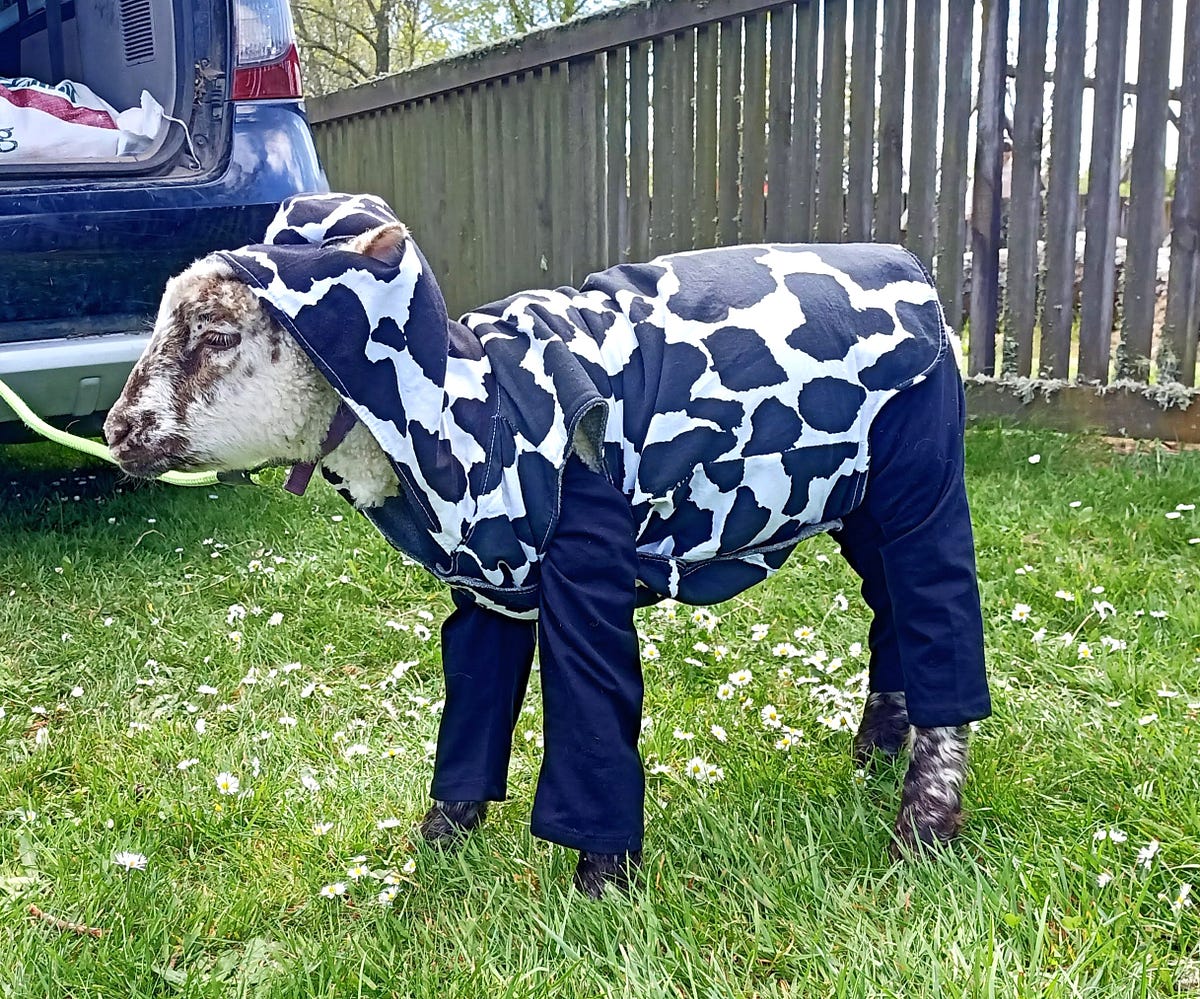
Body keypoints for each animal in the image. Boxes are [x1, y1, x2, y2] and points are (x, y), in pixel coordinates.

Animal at [105, 193, 991, 898]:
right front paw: (438, 846)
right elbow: (472, 705)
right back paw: (876, 753)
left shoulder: (585, 556)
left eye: (217, 335)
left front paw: (602, 885)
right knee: (893, 612)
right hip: (860, 499)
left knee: (939, 613)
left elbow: (593, 710)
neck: (463, 412)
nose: (118, 431)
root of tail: (911, 270)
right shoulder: (488, 585)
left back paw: (923, 828)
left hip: (922, 472)